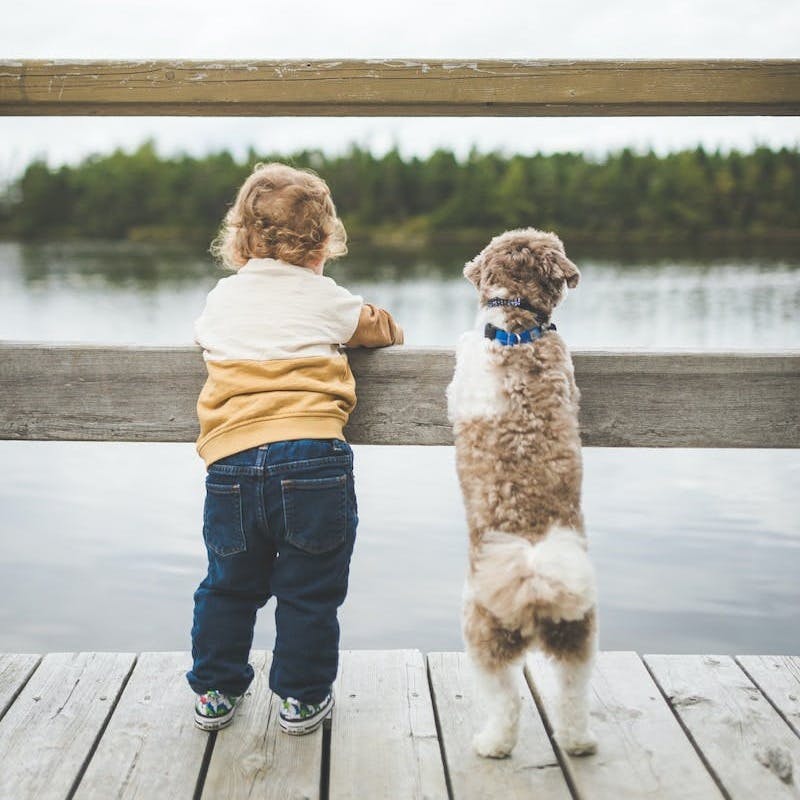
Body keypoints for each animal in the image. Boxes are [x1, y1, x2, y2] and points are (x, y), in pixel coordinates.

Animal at [446, 228, 596, 760]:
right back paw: (578, 742)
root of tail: (534, 584)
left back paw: (492, 744)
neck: (519, 328)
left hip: (482, 636)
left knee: (506, 701)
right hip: (577, 638)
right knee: (572, 695)